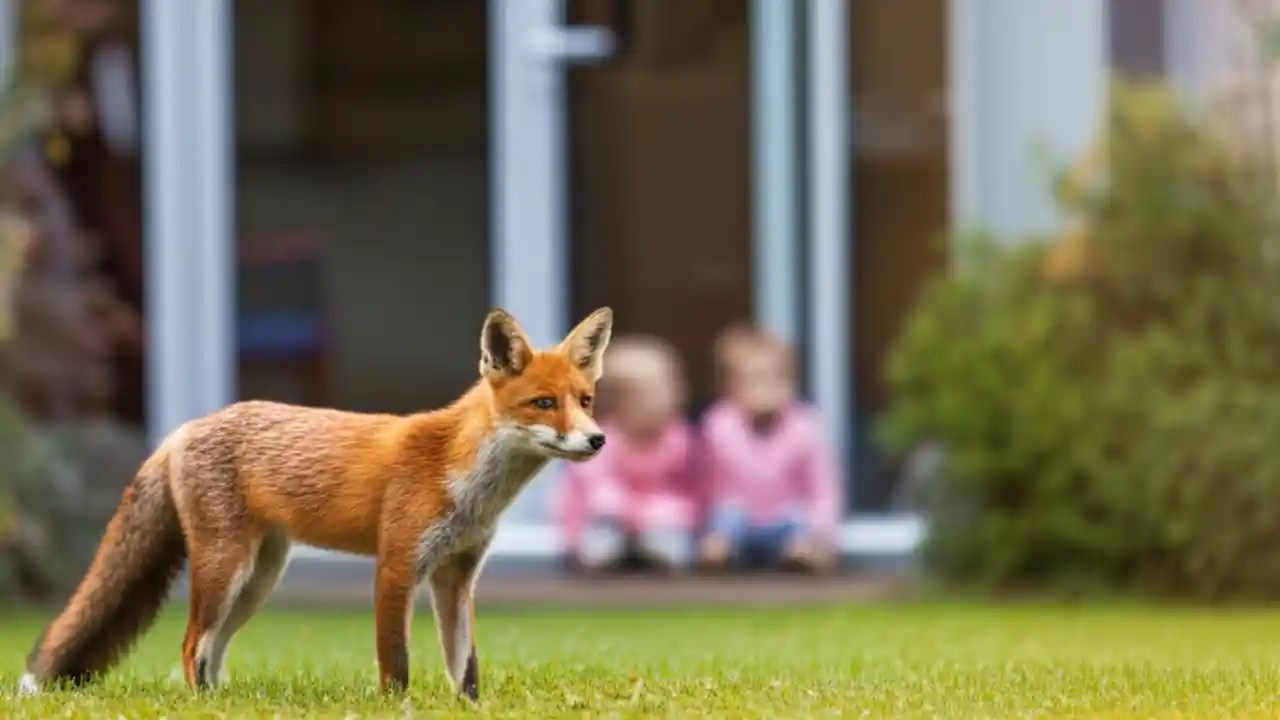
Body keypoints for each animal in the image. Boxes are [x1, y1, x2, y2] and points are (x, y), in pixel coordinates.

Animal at [19, 307, 614, 699]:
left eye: (585, 401)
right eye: (543, 403)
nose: (597, 440)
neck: (466, 475)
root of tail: (182, 429)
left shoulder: (457, 575)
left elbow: (465, 668)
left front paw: (468, 708)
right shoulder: (397, 565)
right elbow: (395, 665)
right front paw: (398, 707)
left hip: (258, 580)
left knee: (212, 651)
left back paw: (220, 703)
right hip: (226, 570)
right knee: (190, 646)